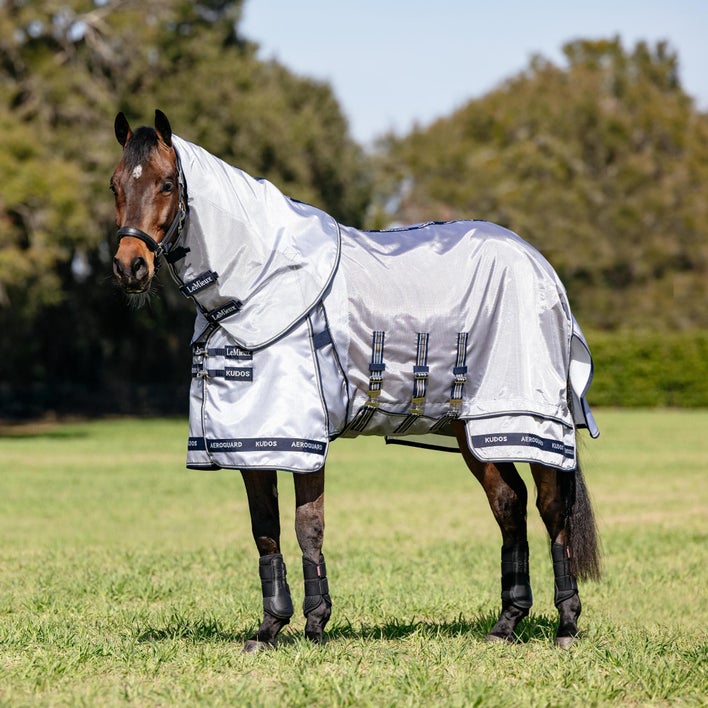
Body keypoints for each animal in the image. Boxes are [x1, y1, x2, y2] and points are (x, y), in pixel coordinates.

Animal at [111, 110, 601, 652]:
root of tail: (541, 265)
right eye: (115, 184)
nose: (130, 266)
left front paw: (314, 624)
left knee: (552, 509)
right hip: (472, 429)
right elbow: (265, 530)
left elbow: (308, 525)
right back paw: (507, 623)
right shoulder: (252, 442)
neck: (259, 283)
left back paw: (567, 625)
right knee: (509, 506)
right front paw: (269, 628)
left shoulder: (300, 440)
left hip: (528, 422)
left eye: (167, 183)